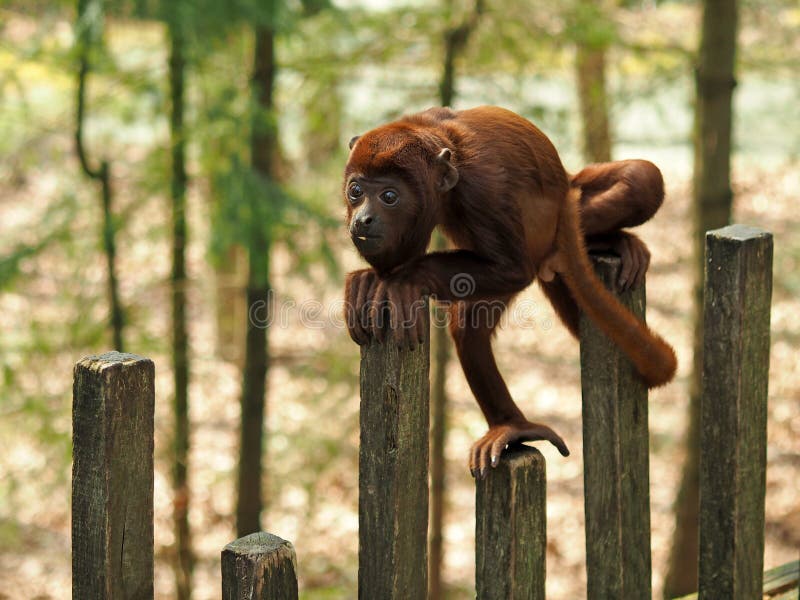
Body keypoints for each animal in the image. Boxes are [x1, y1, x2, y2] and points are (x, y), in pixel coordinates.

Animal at [343, 106, 677, 477]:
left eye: (389, 196)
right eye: (356, 191)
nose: (363, 219)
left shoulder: (483, 187)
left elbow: (513, 267)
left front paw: (403, 279)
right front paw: (369, 279)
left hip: (568, 200)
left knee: (642, 178)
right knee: (469, 331)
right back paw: (513, 426)